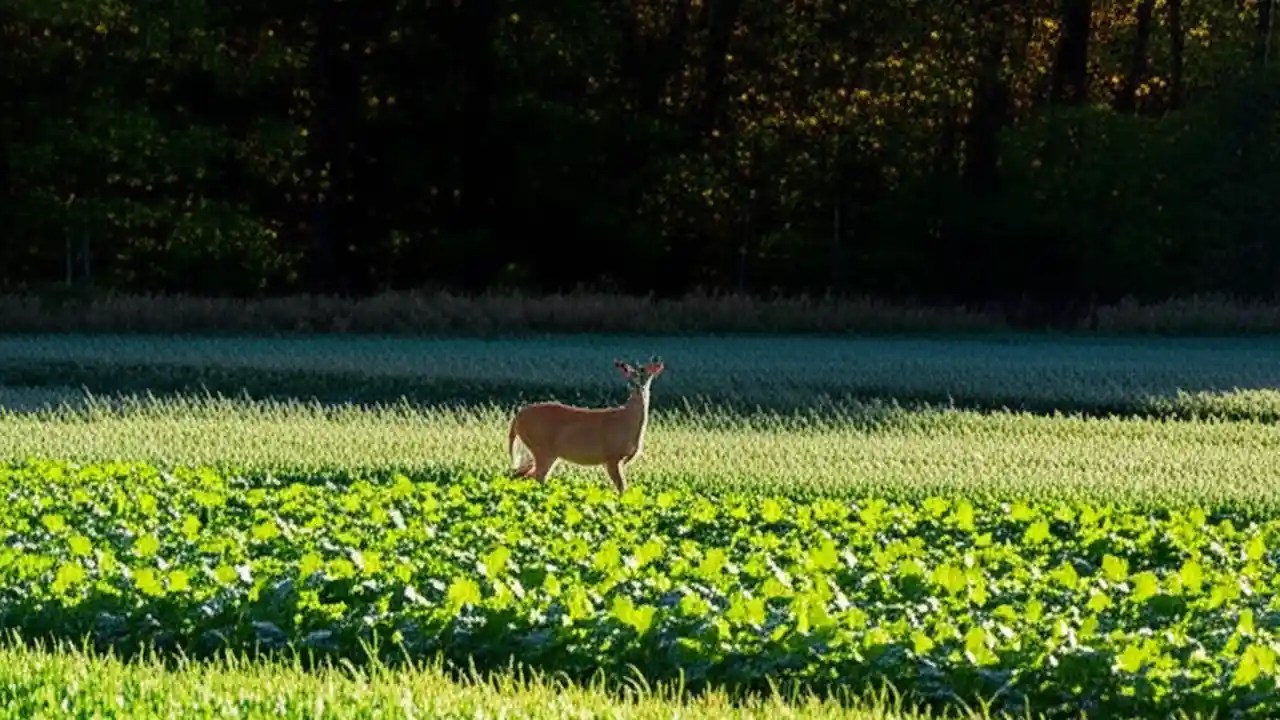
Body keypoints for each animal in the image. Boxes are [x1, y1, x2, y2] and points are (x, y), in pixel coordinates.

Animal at [506, 357, 665, 494]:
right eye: (633, 375)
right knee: (536, 477)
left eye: (644, 372)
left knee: (520, 474)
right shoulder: (613, 456)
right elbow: (622, 489)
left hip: (540, 452)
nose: (637, 387)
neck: (628, 420)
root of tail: (516, 419)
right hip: (542, 449)